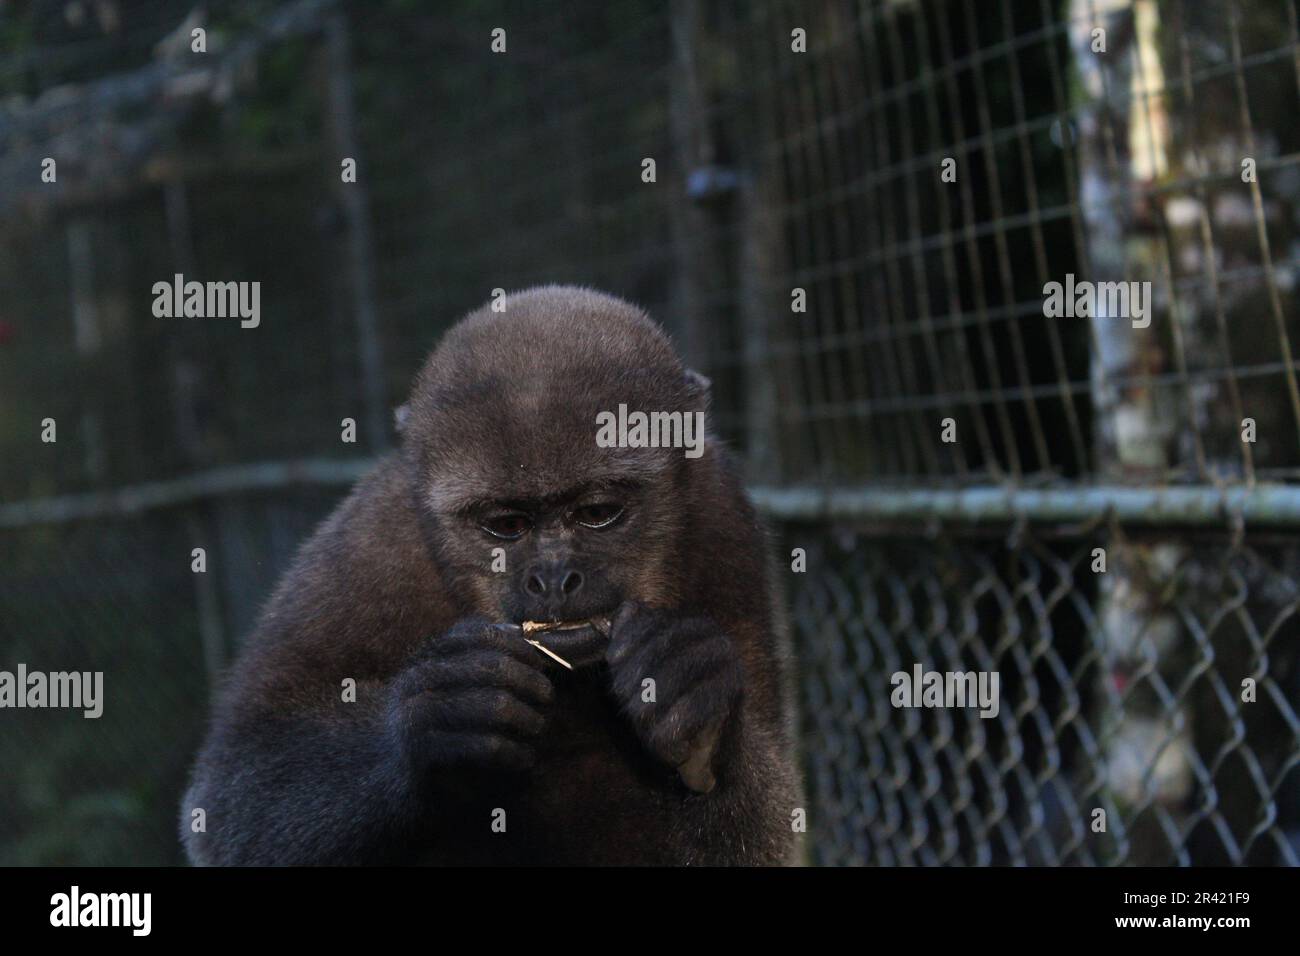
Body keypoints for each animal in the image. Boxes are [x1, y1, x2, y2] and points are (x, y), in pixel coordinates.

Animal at [180, 285, 802, 865]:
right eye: (506, 525)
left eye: (599, 512)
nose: (553, 578)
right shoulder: (376, 537)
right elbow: (233, 782)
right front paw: (437, 717)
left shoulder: (723, 517)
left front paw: (695, 702)